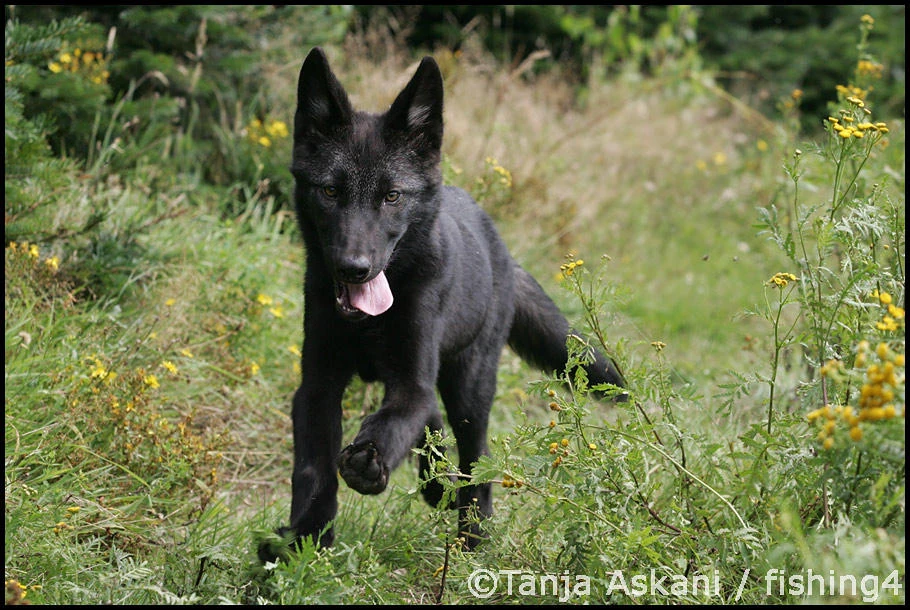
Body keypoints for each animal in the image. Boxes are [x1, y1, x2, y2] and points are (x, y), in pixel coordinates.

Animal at [259, 47, 625, 562]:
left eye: (392, 196)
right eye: (330, 191)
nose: (354, 268)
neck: (369, 323)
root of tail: (504, 254)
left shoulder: (412, 380)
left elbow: (395, 421)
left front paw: (368, 467)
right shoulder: (317, 386)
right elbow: (313, 468)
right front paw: (304, 541)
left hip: (470, 385)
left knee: (476, 458)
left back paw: (473, 535)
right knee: (433, 428)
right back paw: (435, 484)